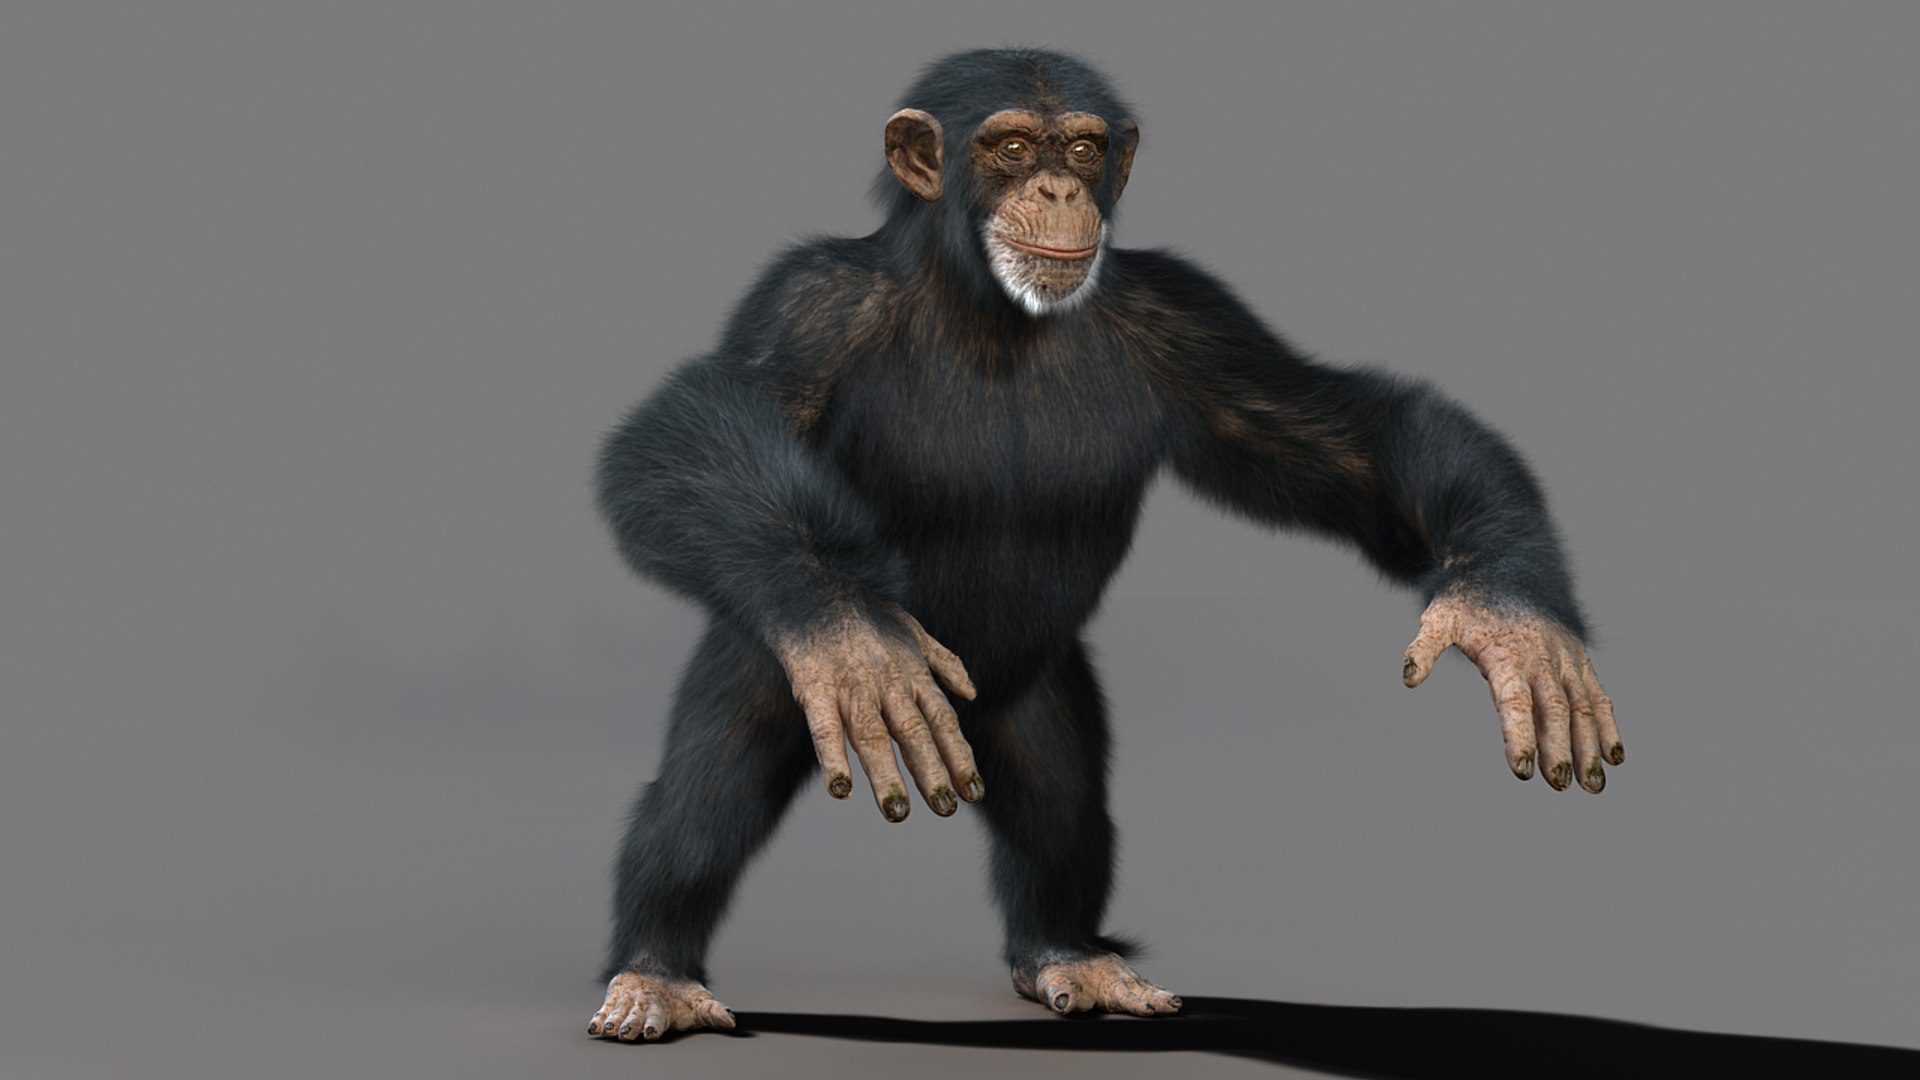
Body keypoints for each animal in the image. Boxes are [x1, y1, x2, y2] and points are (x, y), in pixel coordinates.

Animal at [587, 47, 1621, 1042]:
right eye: (1011, 148)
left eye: (1081, 150)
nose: (1056, 190)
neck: (989, 311)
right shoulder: (808, 307)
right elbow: (674, 437)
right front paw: (853, 637)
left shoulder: (1190, 318)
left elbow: (1347, 439)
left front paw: (1511, 618)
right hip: (776, 661)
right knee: (711, 783)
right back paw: (656, 968)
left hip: (1030, 697)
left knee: (1061, 801)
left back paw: (1067, 949)